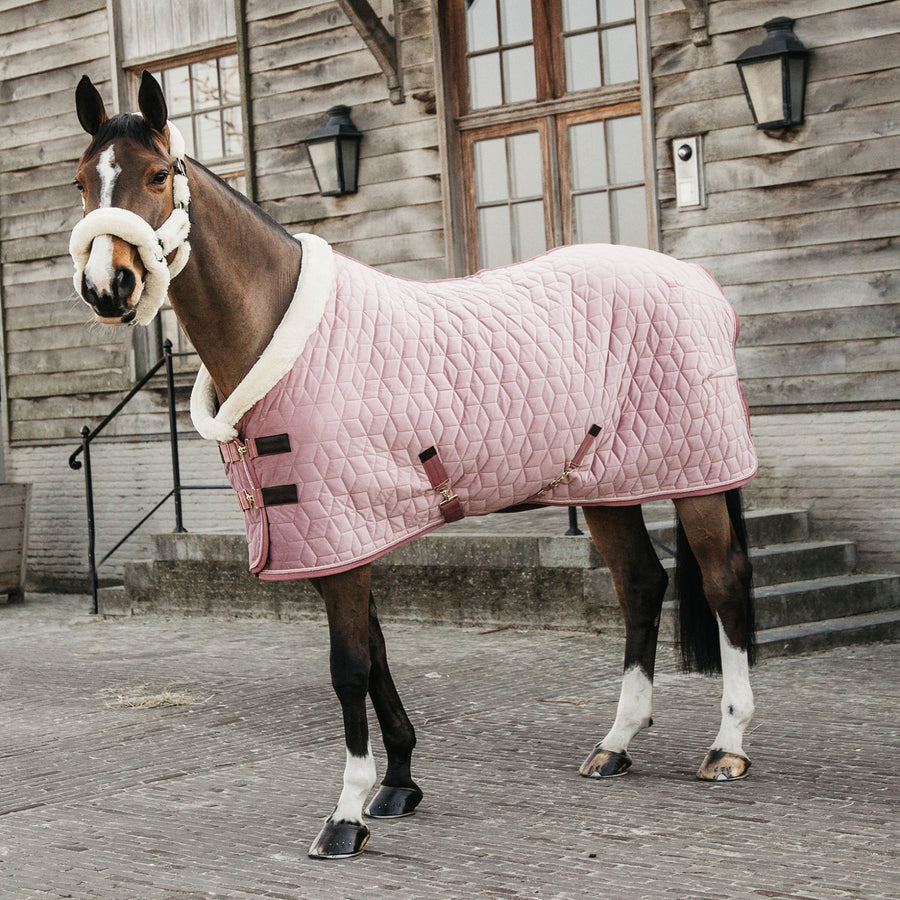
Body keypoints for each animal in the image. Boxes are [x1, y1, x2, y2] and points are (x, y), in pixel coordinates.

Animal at [70, 72, 757, 860]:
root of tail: (698, 282)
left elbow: (348, 668)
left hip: (697, 479)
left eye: (157, 175)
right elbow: (376, 652)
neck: (284, 333)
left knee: (724, 582)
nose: (108, 286)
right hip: (610, 488)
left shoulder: (341, 536)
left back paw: (727, 746)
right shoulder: (339, 536)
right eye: (82, 181)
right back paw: (615, 743)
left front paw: (346, 814)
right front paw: (398, 780)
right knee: (642, 586)